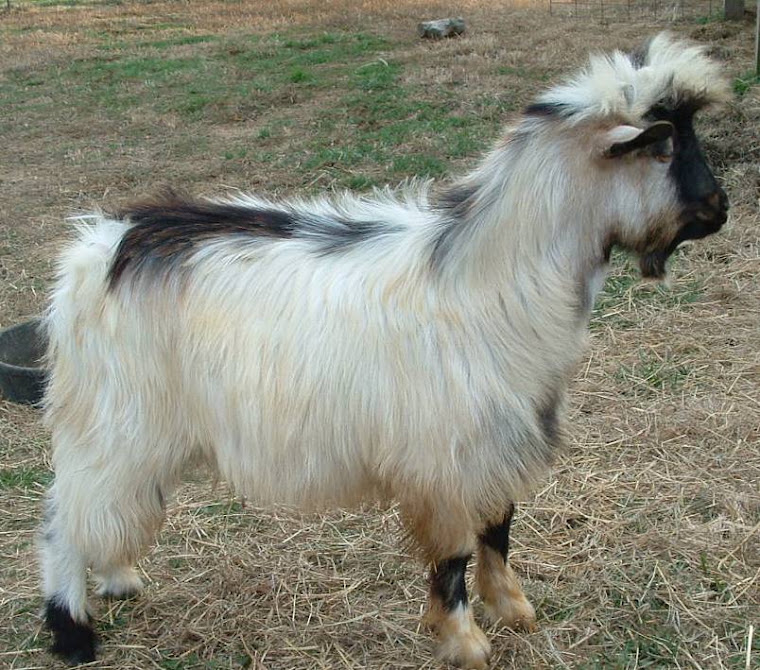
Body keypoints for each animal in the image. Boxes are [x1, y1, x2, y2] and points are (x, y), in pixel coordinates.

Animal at [39, 33, 729, 668]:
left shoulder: (499, 441)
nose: (719, 209)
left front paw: (512, 609)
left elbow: (498, 529)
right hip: (115, 425)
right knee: (63, 521)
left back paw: (118, 579)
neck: (490, 278)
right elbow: (453, 553)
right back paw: (72, 631)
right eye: (664, 146)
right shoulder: (444, 455)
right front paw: (464, 641)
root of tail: (100, 251)